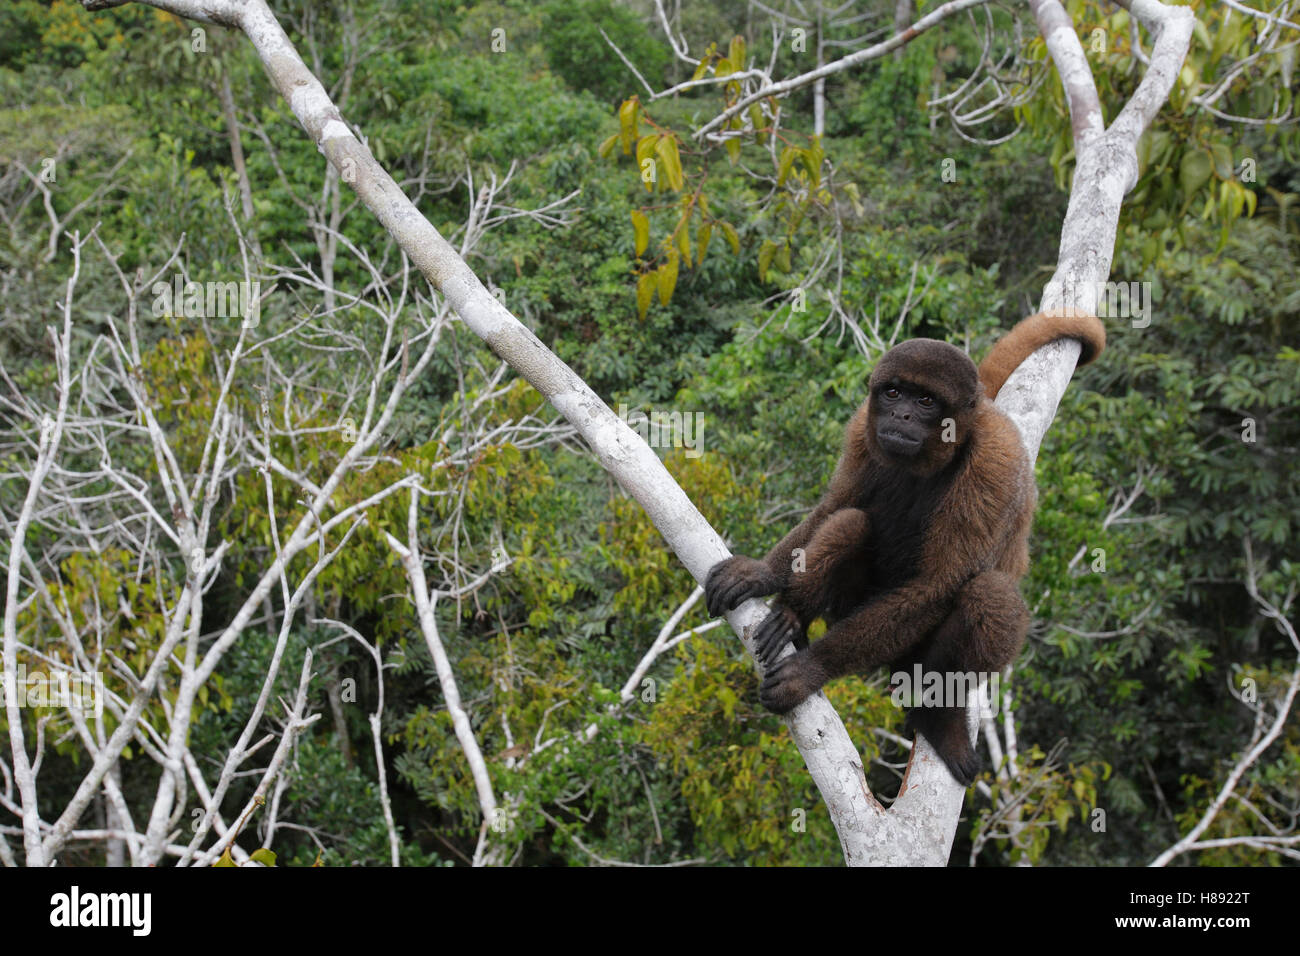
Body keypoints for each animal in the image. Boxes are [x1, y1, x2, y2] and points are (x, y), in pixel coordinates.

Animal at [704, 311, 1105, 785]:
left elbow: (938, 584)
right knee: (850, 522)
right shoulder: (863, 427)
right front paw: (759, 573)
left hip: (911, 652)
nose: (902, 414)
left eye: (927, 401)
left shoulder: (996, 461)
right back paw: (793, 618)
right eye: (894, 392)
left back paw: (937, 716)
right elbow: (835, 504)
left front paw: (810, 671)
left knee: (992, 595)